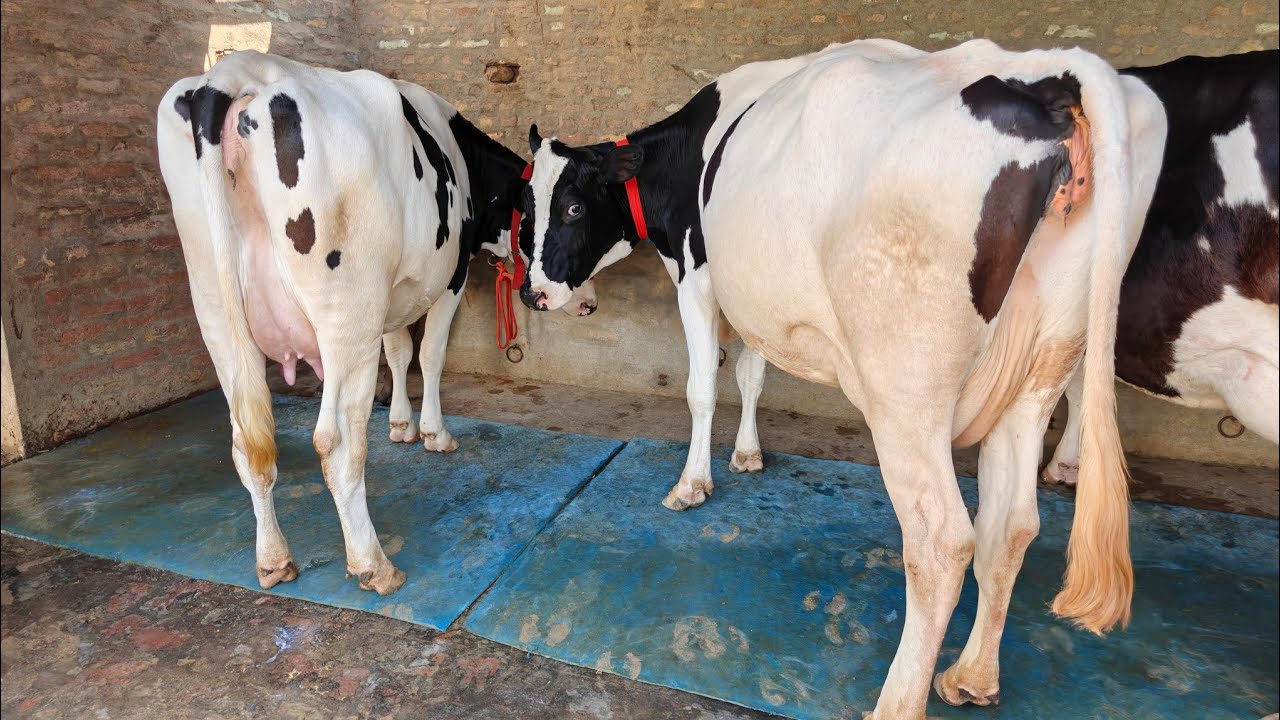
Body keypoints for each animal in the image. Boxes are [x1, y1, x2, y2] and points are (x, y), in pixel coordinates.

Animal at [157, 51, 532, 595]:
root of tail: (237, 70)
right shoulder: (449, 279)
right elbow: (430, 354)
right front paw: (434, 433)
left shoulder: (393, 293)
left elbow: (399, 351)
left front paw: (400, 424)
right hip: (347, 309)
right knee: (336, 443)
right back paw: (373, 564)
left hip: (215, 303)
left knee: (248, 443)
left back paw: (274, 560)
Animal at [518, 39, 1166, 718]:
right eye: (524, 206)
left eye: (571, 206)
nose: (531, 293)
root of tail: (1044, 71)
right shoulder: (759, 302)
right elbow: (752, 373)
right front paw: (748, 454)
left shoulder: (697, 276)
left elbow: (702, 388)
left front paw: (693, 483)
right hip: (1040, 366)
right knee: (1012, 525)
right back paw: (972, 675)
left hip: (906, 389)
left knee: (941, 542)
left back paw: (897, 702)